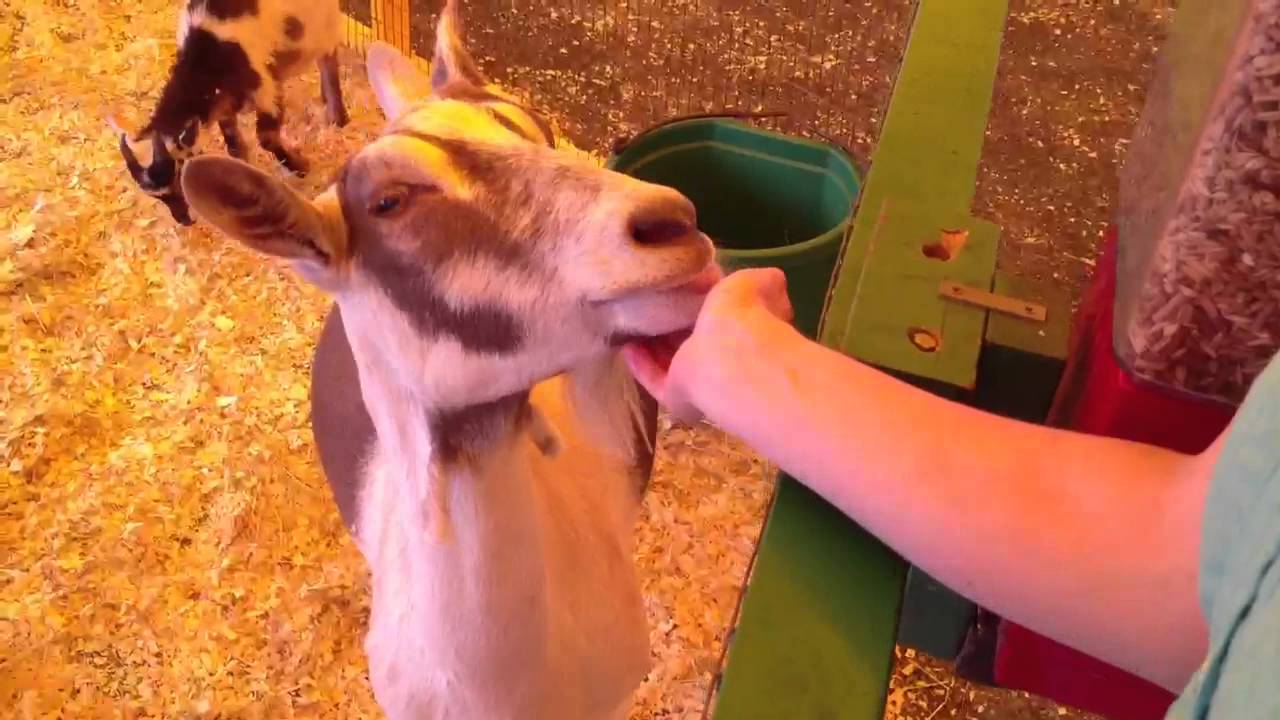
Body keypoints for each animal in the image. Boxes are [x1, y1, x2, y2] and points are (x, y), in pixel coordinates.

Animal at [117, 0, 348, 226]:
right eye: (157, 196)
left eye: (178, 172)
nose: (184, 220)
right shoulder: (223, 104)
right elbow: (235, 145)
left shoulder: (265, 90)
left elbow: (267, 137)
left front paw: (300, 166)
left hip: (322, 27)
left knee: (328, 59)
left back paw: (337, 115)